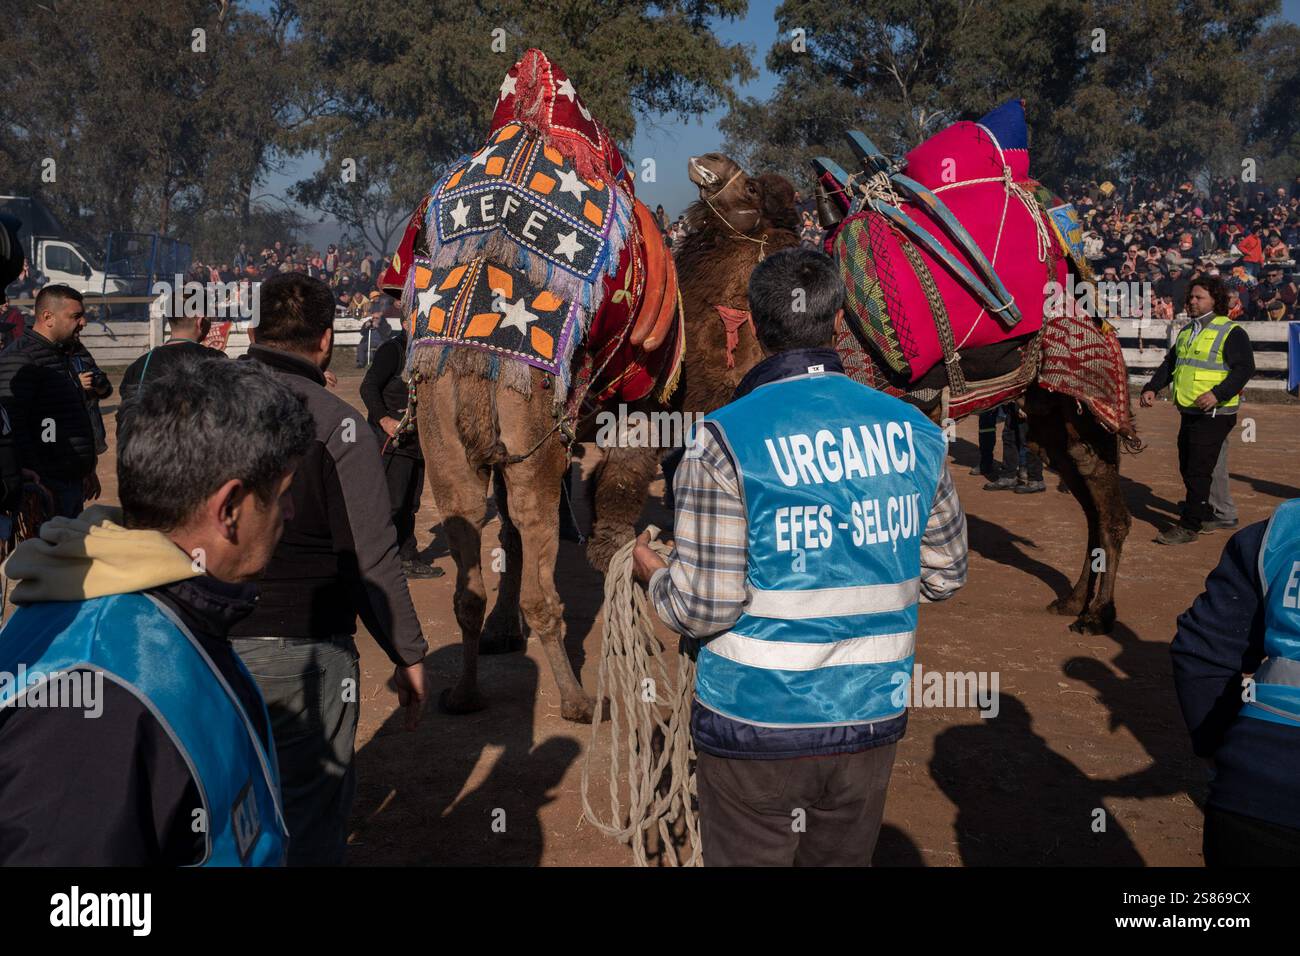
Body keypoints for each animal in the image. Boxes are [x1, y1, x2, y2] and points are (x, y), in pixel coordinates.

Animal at [674, 153, 1134, 635]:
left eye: (751, 188)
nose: (707, 160)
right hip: (1051, 420)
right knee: (1091, 507)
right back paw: (1072, 601)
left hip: (1087, 401)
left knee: (1110, 513)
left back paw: (1098, 615)